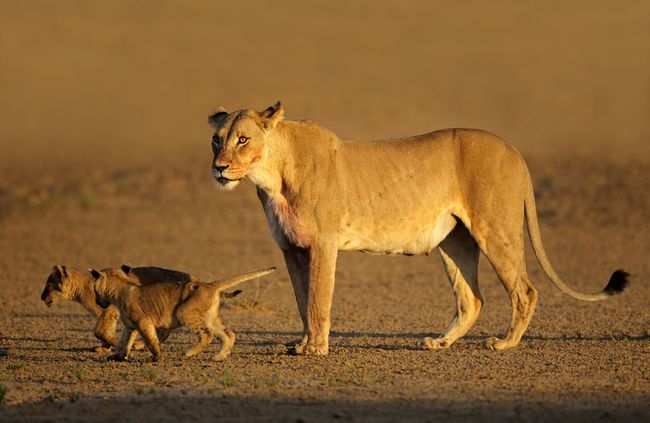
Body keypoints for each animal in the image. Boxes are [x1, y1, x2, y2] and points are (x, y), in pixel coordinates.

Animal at [41, 265, 241, 352]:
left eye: (49, 284)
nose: (42, 297)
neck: (82, 286)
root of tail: (196, 279)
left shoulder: (109, 310)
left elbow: (99, 330)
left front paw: (112, 344)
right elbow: (106, 331)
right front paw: (106, 347)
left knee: (163, 333)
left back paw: (139, 344)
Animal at [91, 267, 276, 362]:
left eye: (94, 289)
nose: (98, 302)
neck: (121, 288)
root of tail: (209, 285)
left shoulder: (143, 321)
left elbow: (151, 340)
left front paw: (157, 357)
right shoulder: (130, 326)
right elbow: (124, 342)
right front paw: (117, 356)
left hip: (184, 312)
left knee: (207, 335)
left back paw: (189, 353)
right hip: (211, 317)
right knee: (228, 334)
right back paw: (219, 356)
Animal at [207, 101, 629, 356]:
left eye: (243, 139)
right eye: (216, 139)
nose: (219, 168)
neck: (271, 175)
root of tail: (513, 150)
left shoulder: (323, 244)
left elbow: (318, 300)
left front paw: (316, 349)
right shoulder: (292, 248)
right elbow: (301, 300)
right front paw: (302, 344)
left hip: (495, 229)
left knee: (525, 290)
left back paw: (504, 343)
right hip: (455, 242)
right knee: (471, 299)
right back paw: (440, 342)